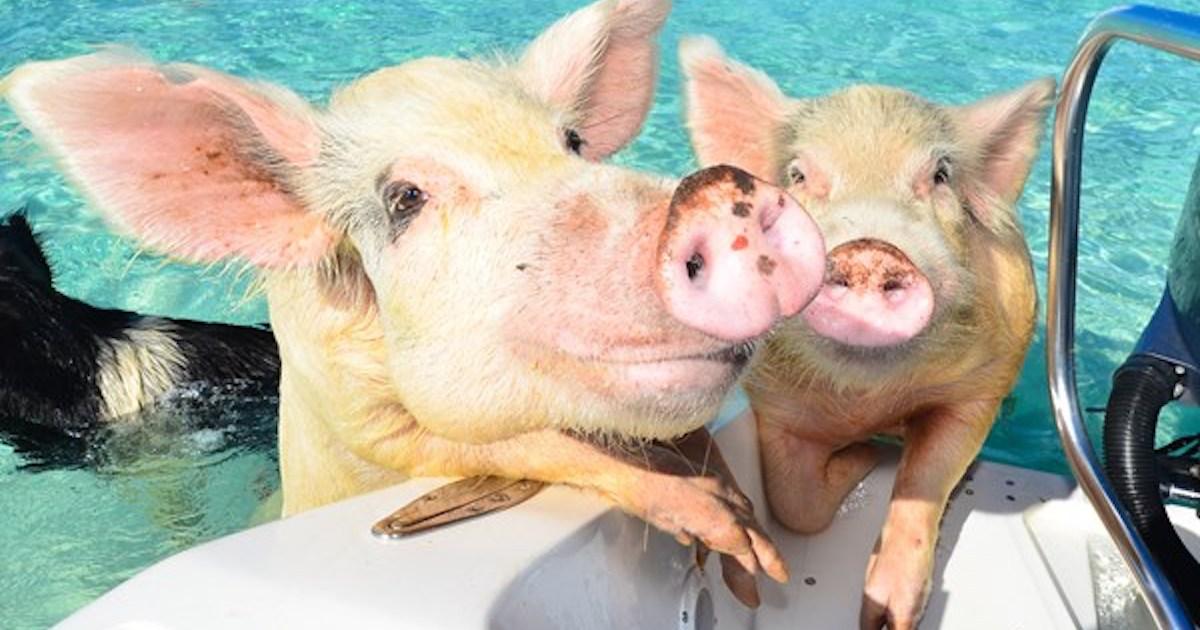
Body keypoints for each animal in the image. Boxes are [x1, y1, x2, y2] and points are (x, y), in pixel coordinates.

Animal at [1, 0, 830, 605]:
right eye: (405, 198)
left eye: (571, 142)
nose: (716, 193)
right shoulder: (362, 417)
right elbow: (514, 444)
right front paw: (731, 532)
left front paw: (752, 566)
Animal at [680, 37, 1053, 628]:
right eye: (797, 176)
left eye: (940, 175)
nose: (871, 249)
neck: (867, 401)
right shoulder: (777, 408)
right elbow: (793, 503)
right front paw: (862, 456)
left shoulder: (981, 388)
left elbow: (926, 480)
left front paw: (887, 617)